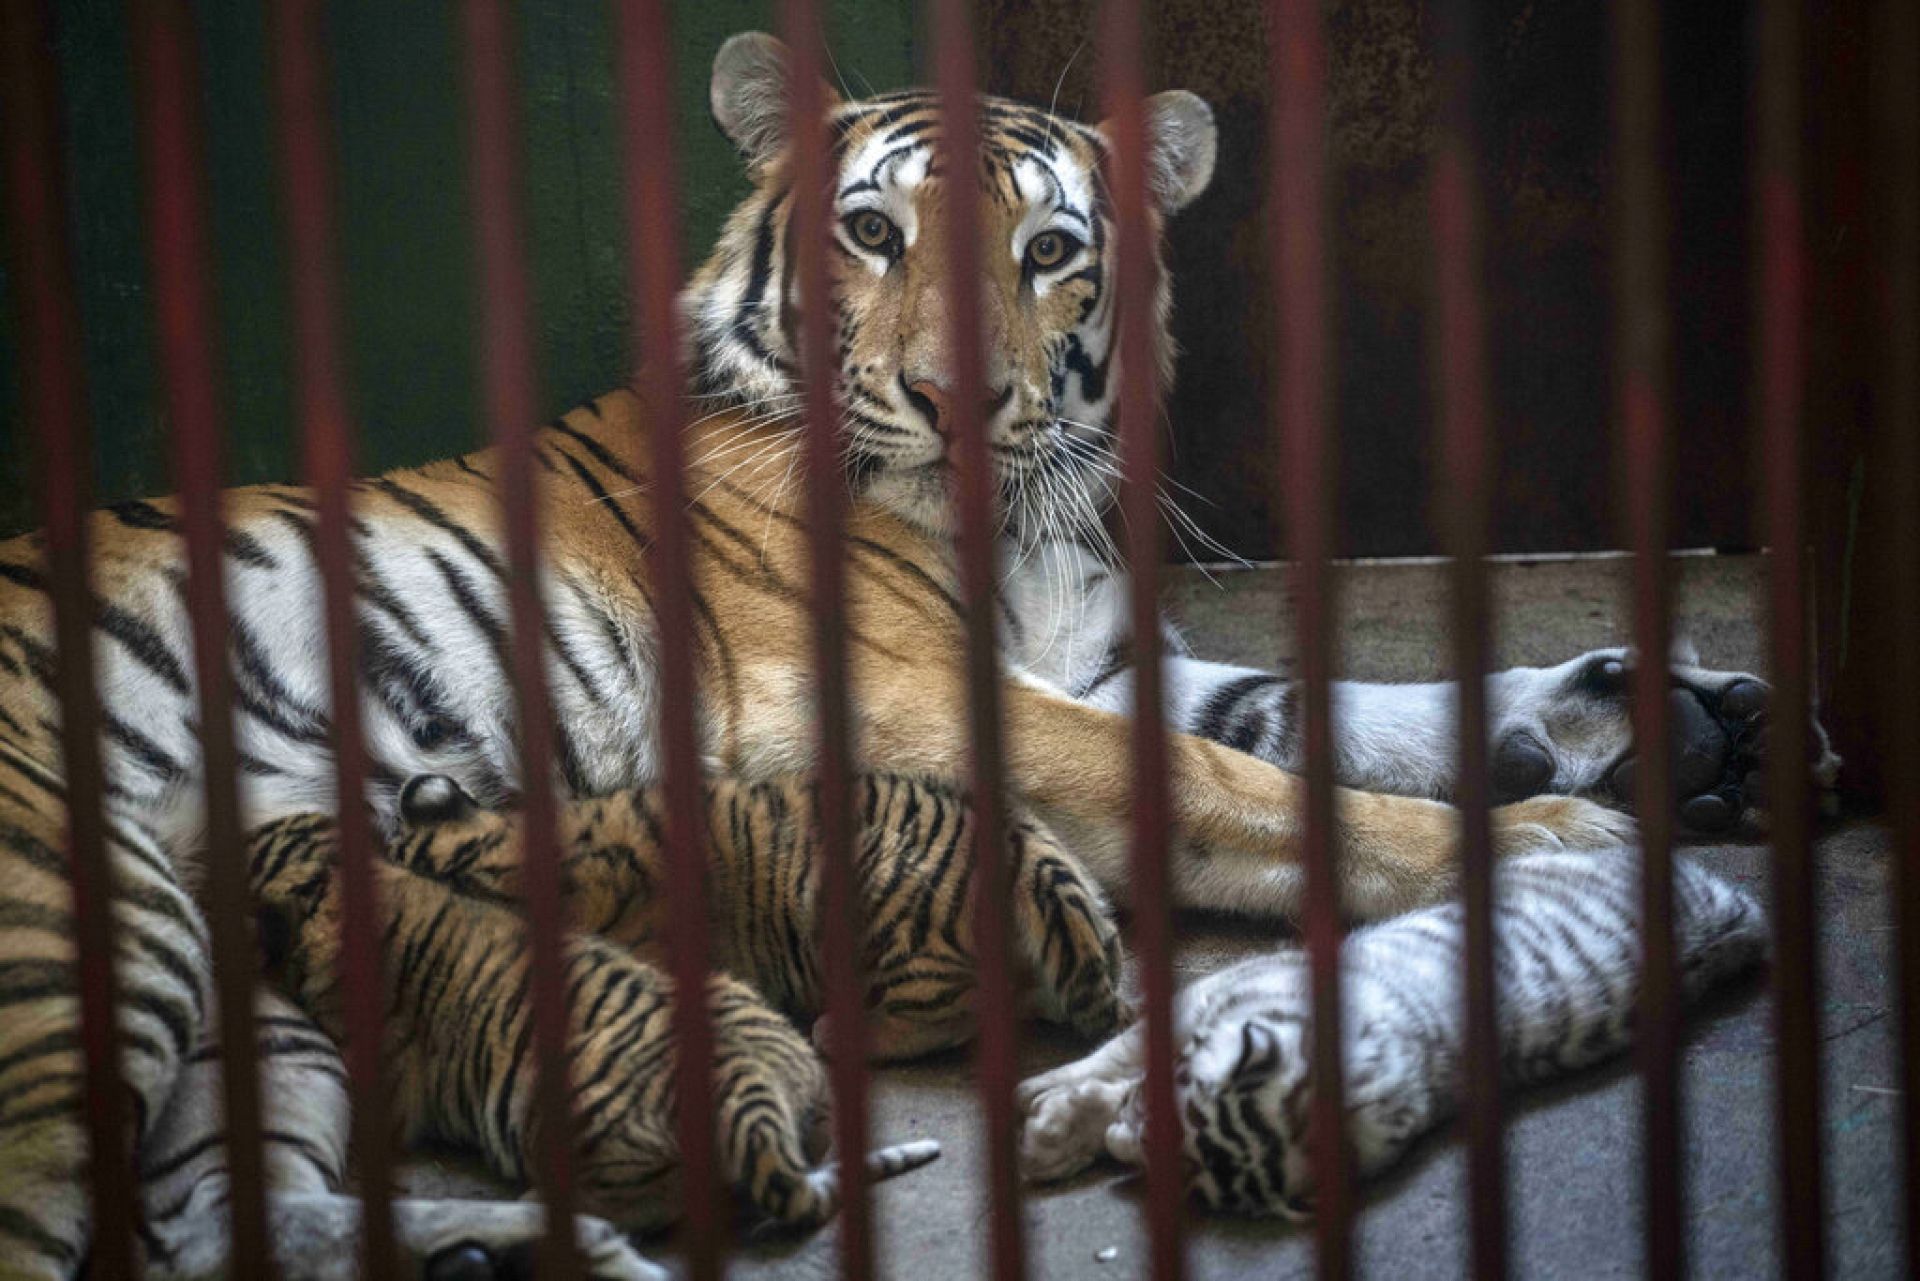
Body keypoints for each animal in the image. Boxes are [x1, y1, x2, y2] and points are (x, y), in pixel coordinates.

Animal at [1013, 848, 1769, 1217]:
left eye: (1194, 1183)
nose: (1124, 1148)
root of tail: (1736, 911)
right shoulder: (1198, 1001)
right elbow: (1113, 1058)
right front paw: (1046, 1099)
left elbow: (1117, 1075)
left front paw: (1053, 1128)